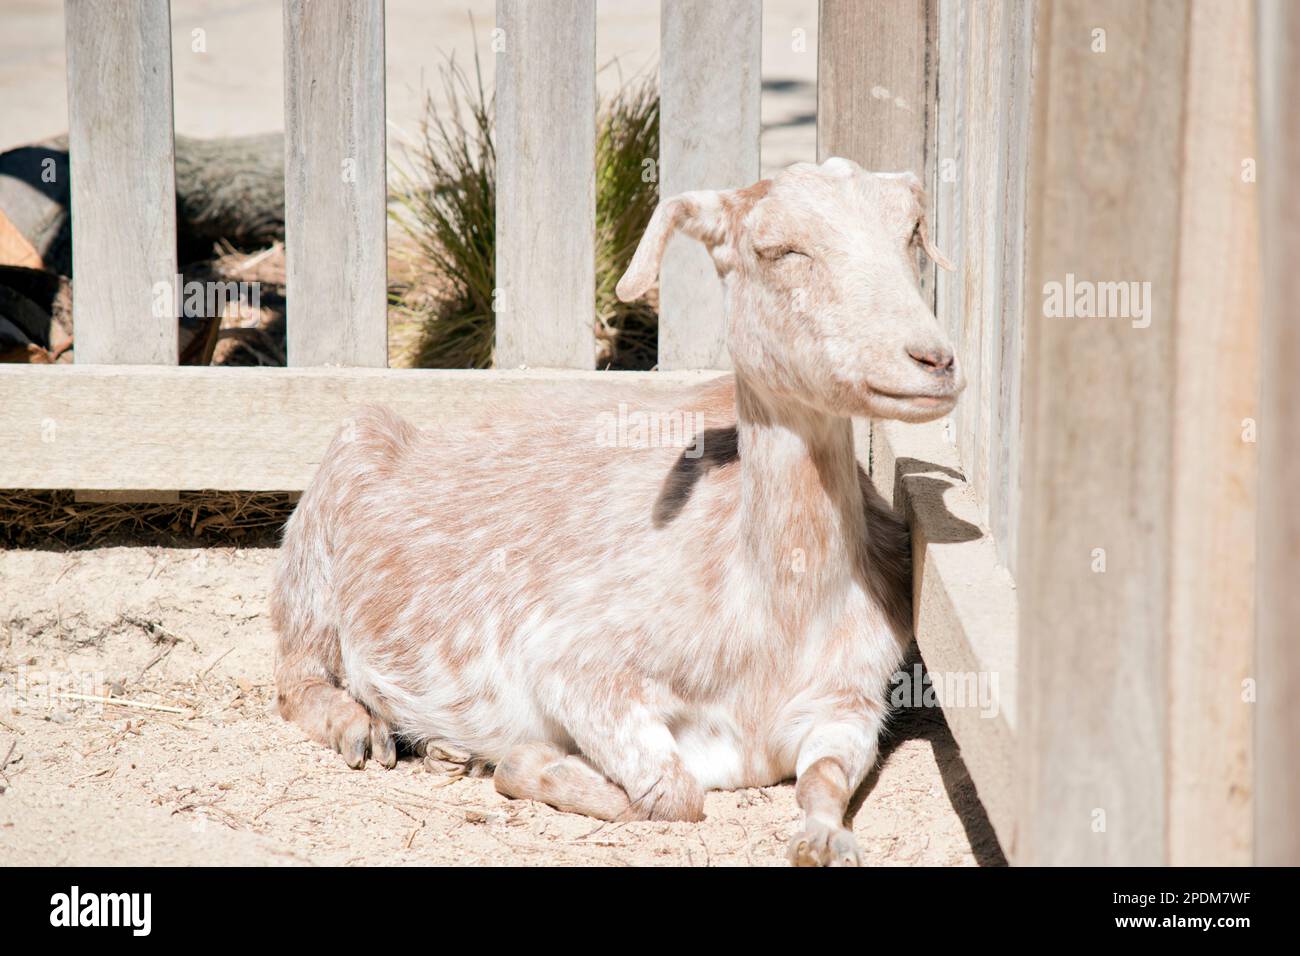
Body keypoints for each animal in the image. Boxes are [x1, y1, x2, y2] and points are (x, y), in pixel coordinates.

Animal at [270, 157, 963, 866]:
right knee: (295, 677)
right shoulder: (575, 662)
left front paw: (824, 840)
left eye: (912, 232)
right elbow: (674, 792)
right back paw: (365, 729)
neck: (774, 624)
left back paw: (441, 748)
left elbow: (822, 780)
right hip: (321, 531)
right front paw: (523, 763)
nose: (933, 359)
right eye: (780, 250)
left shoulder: (851, 699)